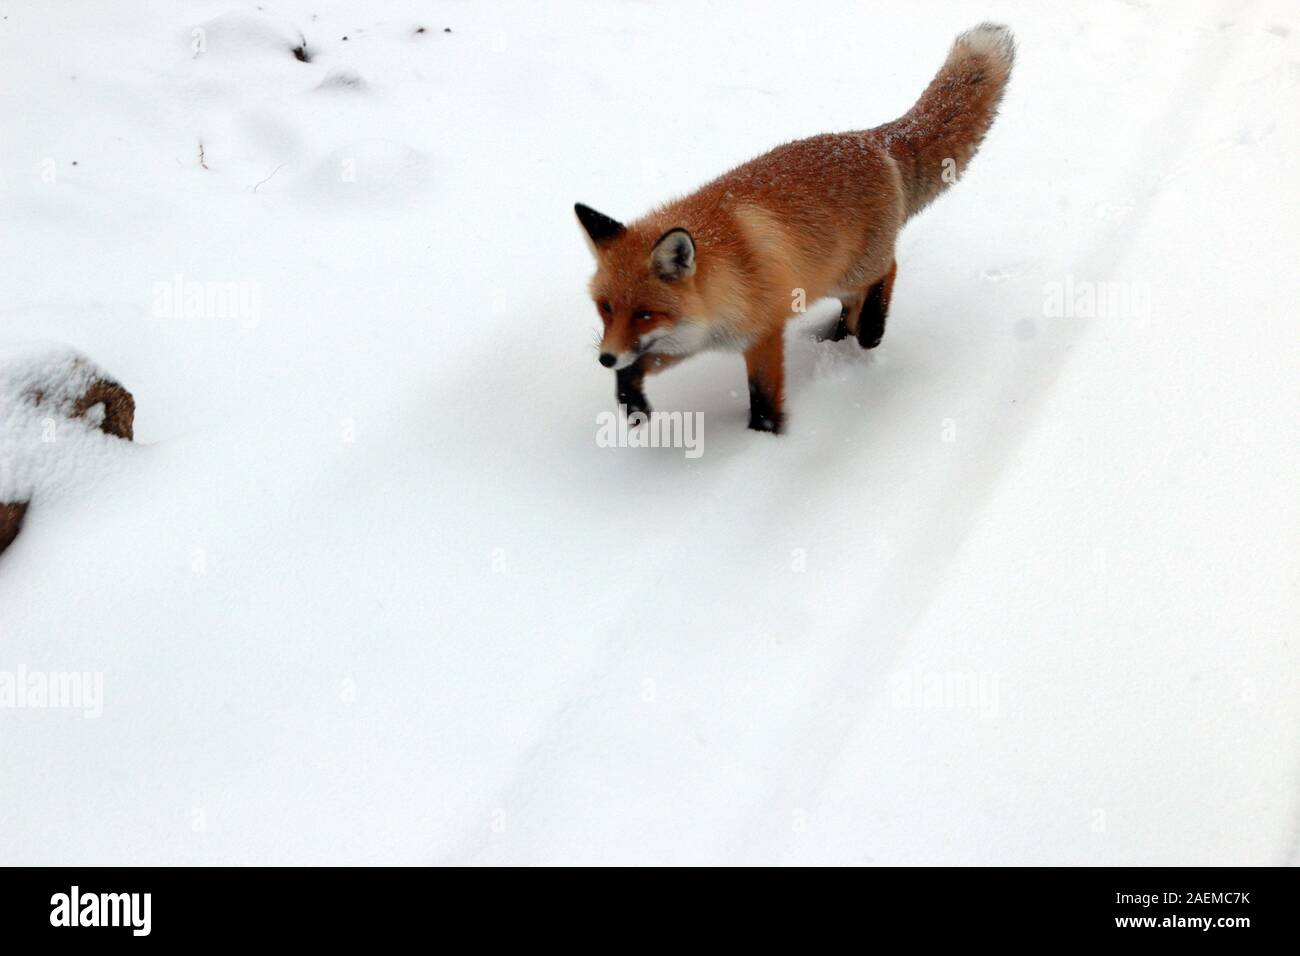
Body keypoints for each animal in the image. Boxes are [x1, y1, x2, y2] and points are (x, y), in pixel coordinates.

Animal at [576, 22, 1014, 433]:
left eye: (645, 313)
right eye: (606, 308)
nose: (604, 357)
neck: (719, 281)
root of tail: (871, 139)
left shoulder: (761, 333)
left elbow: (763, 396)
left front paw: (764, 440)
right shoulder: (686, 339)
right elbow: (637, 365)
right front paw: (631, 402)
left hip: (849, 271)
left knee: (885, 273)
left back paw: (871, 331)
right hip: (830, 274)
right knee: (853, 304)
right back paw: (839, 336)